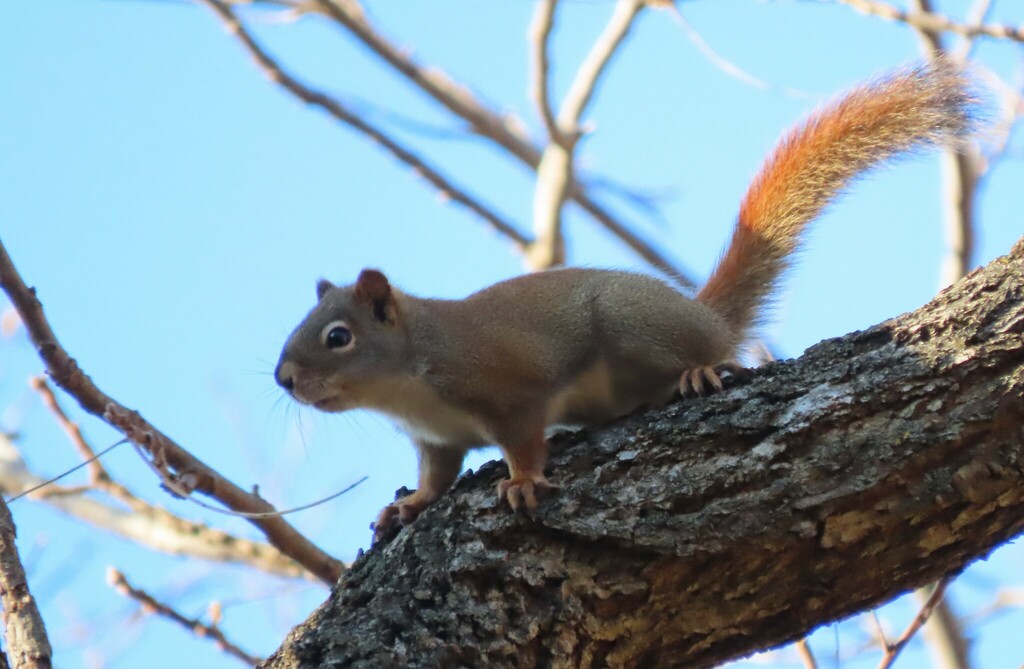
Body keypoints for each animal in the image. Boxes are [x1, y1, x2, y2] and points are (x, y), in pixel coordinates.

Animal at [274, 61, 977, 541]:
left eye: (338, 336)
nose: (284, 379)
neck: (409, 379)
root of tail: (704, 314)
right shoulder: (438, 439)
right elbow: (436, 477)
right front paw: (410, 505)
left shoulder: (507, 387)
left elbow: (523, 437)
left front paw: (522, 482)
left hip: (633, 323)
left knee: (702, 352)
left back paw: (699, 370)